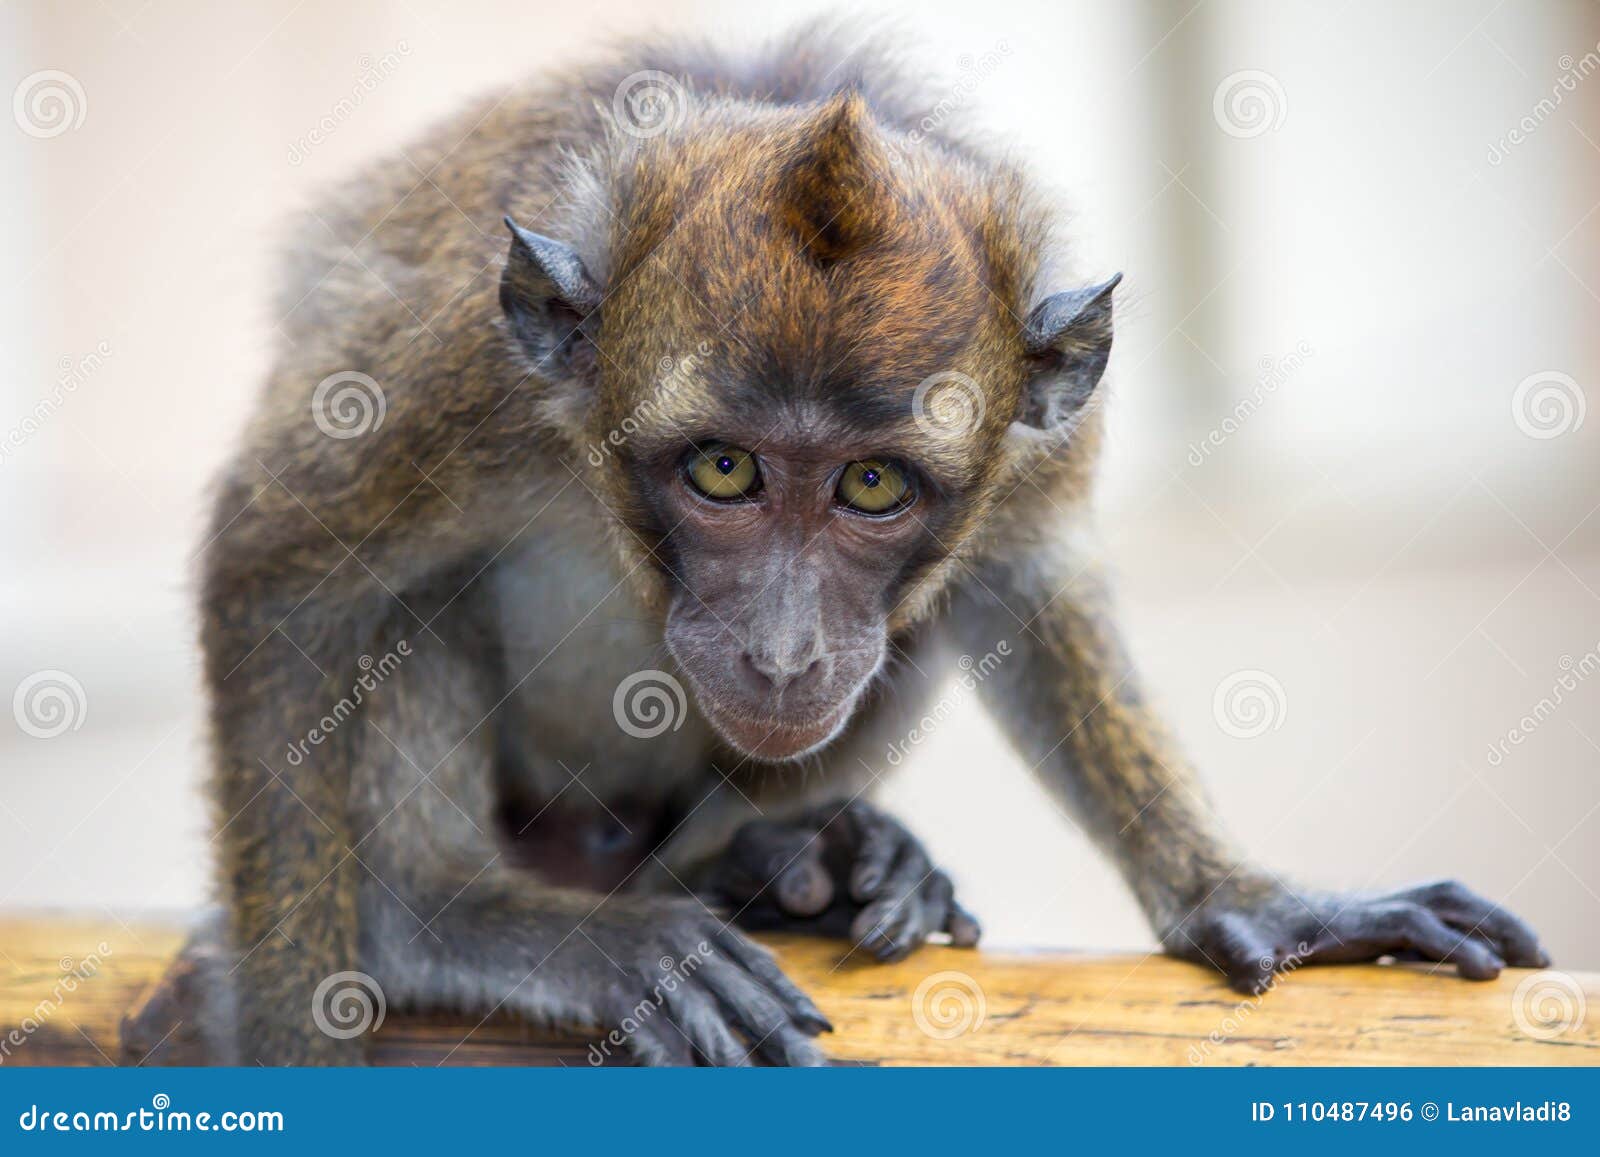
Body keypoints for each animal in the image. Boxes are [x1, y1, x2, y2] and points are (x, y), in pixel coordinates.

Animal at [188, 22, 1548, 1066]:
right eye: (723, 469)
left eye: (873, 484)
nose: (787, 653)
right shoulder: (454, 375)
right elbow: (278, 576)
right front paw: (301, 1036)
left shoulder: (1034, 434)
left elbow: (1025, 590)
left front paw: (1252, 897)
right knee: (412, 602)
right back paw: (454, 912)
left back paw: (780, 859)